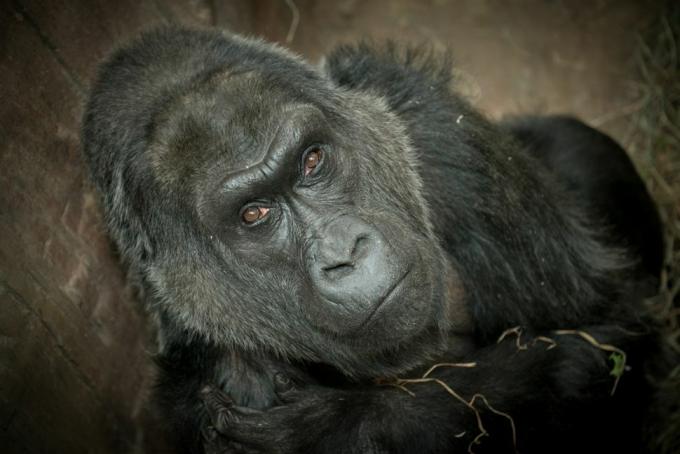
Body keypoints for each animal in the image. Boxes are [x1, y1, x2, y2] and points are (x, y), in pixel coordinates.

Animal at [82, 27, 660, 454]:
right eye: (254, 214)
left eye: (312, 160)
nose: (344, 254)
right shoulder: (209, 359)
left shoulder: (442, 138)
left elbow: (605, 340)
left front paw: (343, 424)